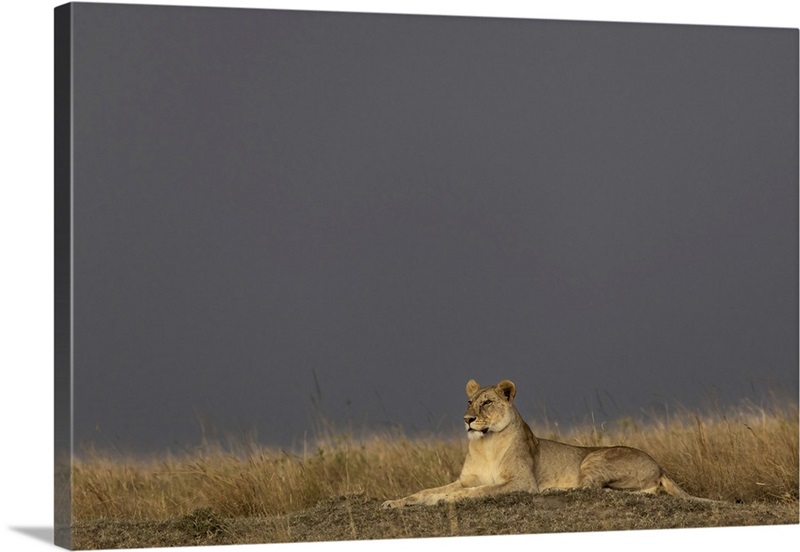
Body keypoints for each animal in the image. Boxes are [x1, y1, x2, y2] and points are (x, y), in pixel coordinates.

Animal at [381, 379, 709, 508]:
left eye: (486, 402)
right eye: (469, 401)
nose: (467, 419)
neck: (485, 444)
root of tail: (660, 466)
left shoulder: (522, 482)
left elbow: (480, 491)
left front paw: (448, 500)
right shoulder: (465, 479)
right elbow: (426, 491)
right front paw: (395, 502)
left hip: (594, 458)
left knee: (591, 488)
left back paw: (552, 490)